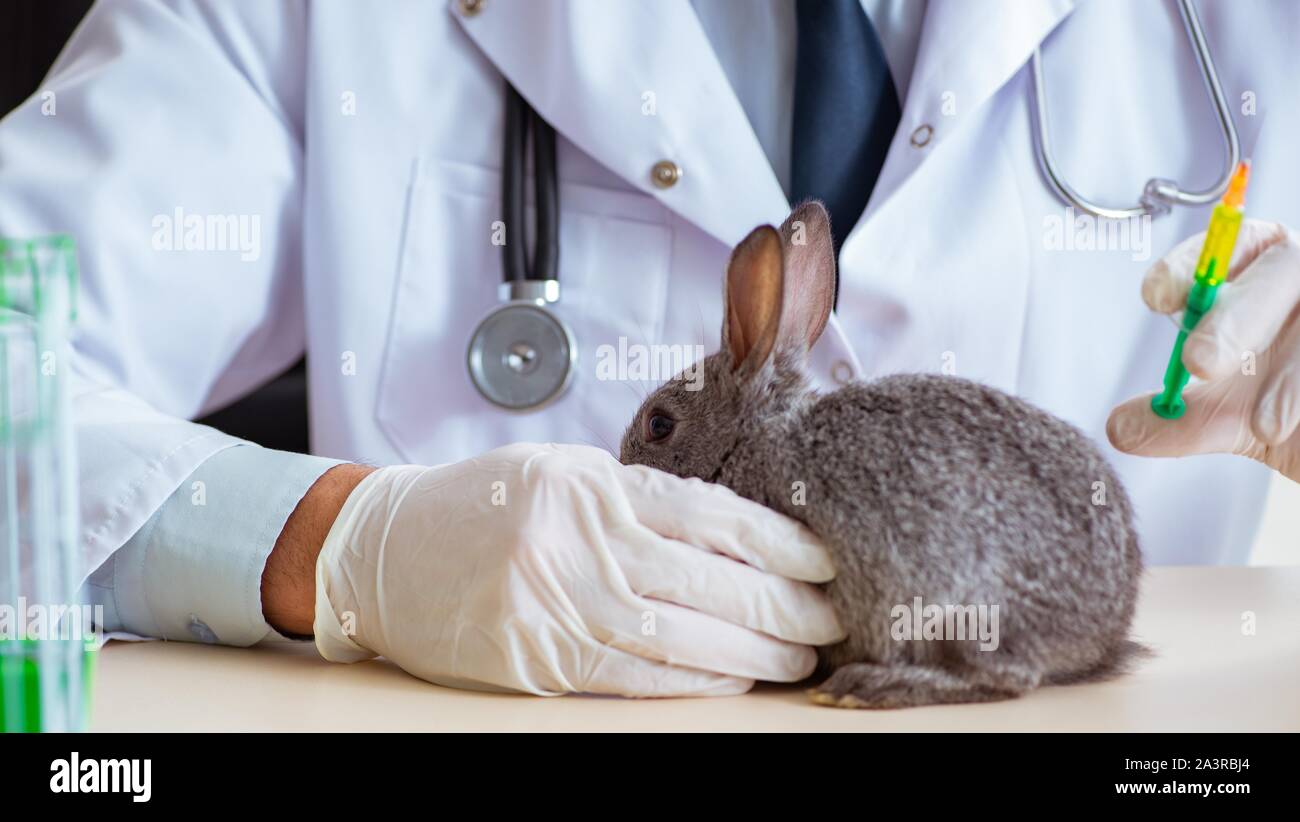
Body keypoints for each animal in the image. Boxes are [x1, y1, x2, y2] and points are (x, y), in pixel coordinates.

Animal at [619, 201, 1146, 709]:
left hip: (957, 607)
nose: (623, 466)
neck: (751, 439)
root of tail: (1105, 630)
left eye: (660, 425)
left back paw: (866, 687)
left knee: (1005, 677)